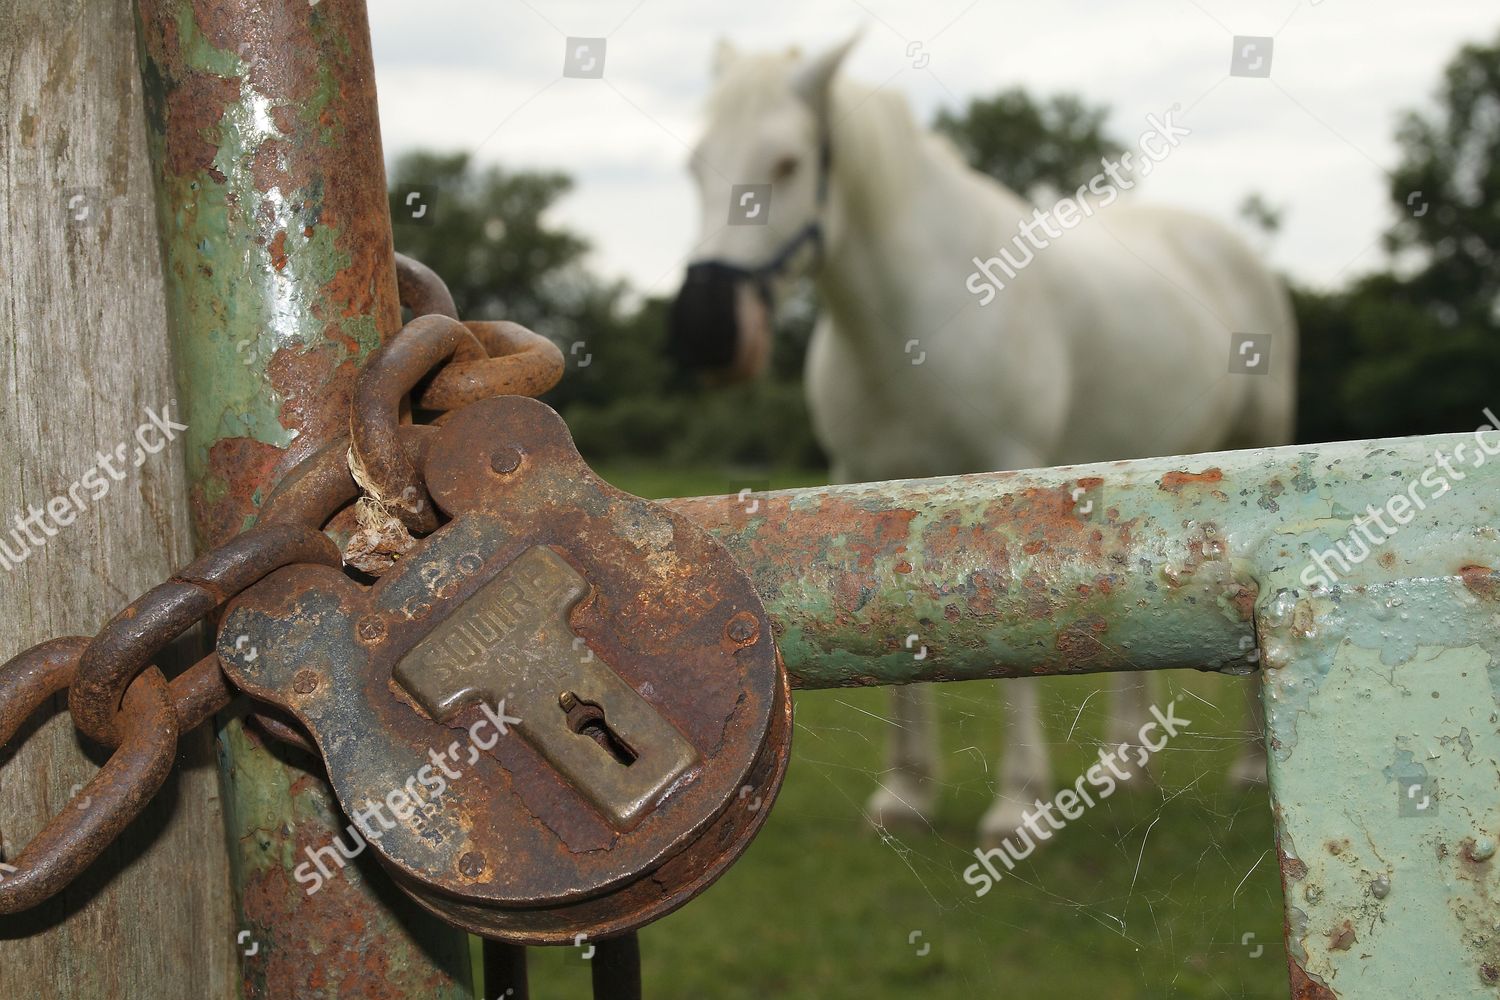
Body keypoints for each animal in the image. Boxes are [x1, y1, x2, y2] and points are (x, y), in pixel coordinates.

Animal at [667, 34, 1295, 846]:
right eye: (695, 165)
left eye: (788, 164)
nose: (706, 330)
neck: (913, 322)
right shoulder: (869, 485)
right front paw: (906, 794)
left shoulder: (1009, 472)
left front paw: (1017, 803)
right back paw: (1125, 767)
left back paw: (1248, 768)